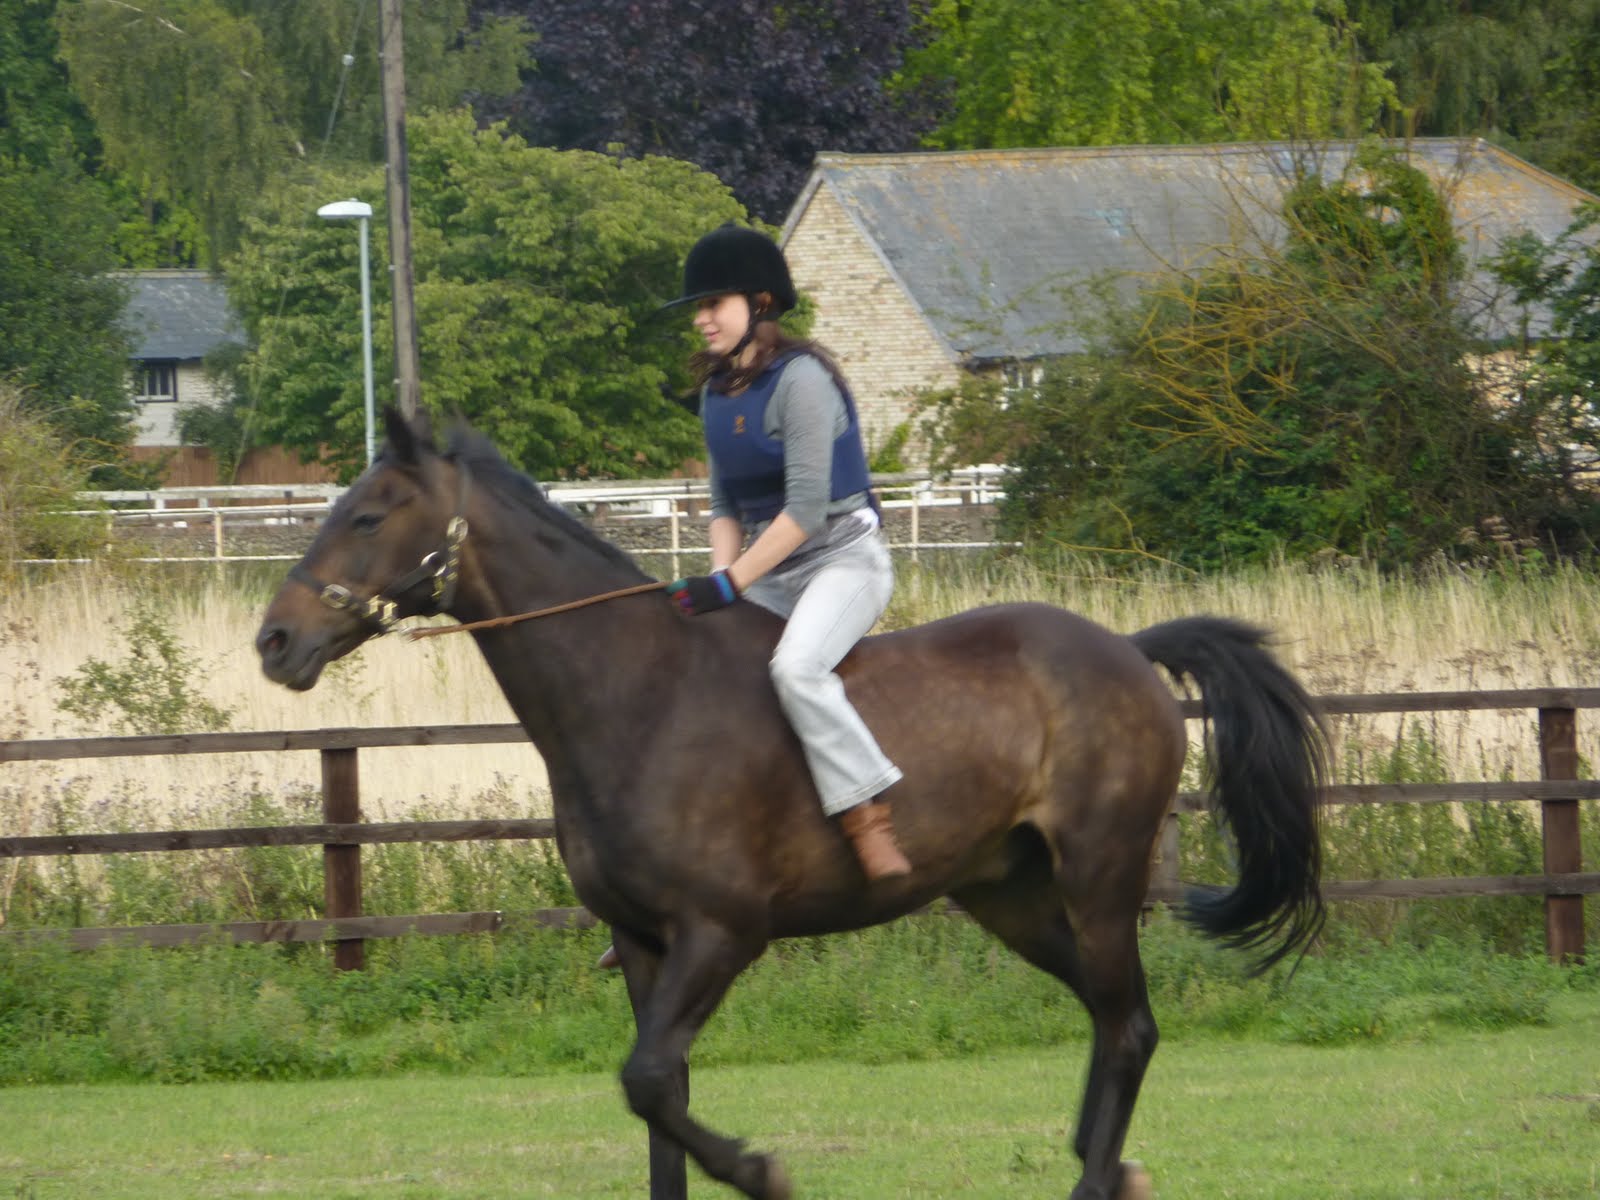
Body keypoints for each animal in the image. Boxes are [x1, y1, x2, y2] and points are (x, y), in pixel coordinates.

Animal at [256, 408, 1326, 1200]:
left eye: (368, 516)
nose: (275, 641)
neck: (637, 695)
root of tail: (1128, 652)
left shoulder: (721, 932)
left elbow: (649, 1081)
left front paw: (762, 1170)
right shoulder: (644, 946)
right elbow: (658, 1108)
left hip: (1099, 878)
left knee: (1131, 1025)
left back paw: (1098, 1179)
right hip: (1012, 898)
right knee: (1109, 1021)